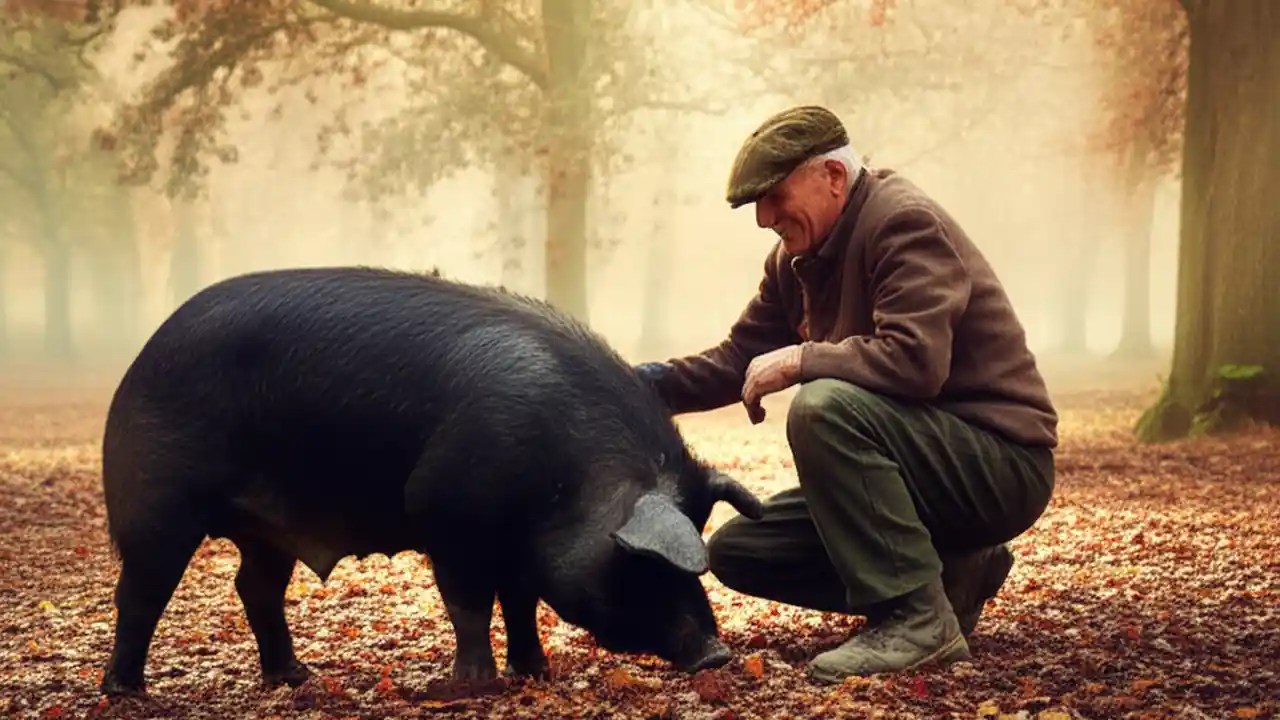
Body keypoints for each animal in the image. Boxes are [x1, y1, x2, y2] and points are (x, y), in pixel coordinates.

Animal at [99, 266, 763, 698]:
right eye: (641, 560)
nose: (716, 654)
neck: (567, 481)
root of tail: (137, 362)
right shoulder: (447, 515)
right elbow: (468, 602)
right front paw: (474, 684)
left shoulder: (516, 545)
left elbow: (519, 603)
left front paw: (535, 673)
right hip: (153, 500)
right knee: (140, 590)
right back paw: (127, 694)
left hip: (266, 528)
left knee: (253, 587)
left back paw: (295, 678)